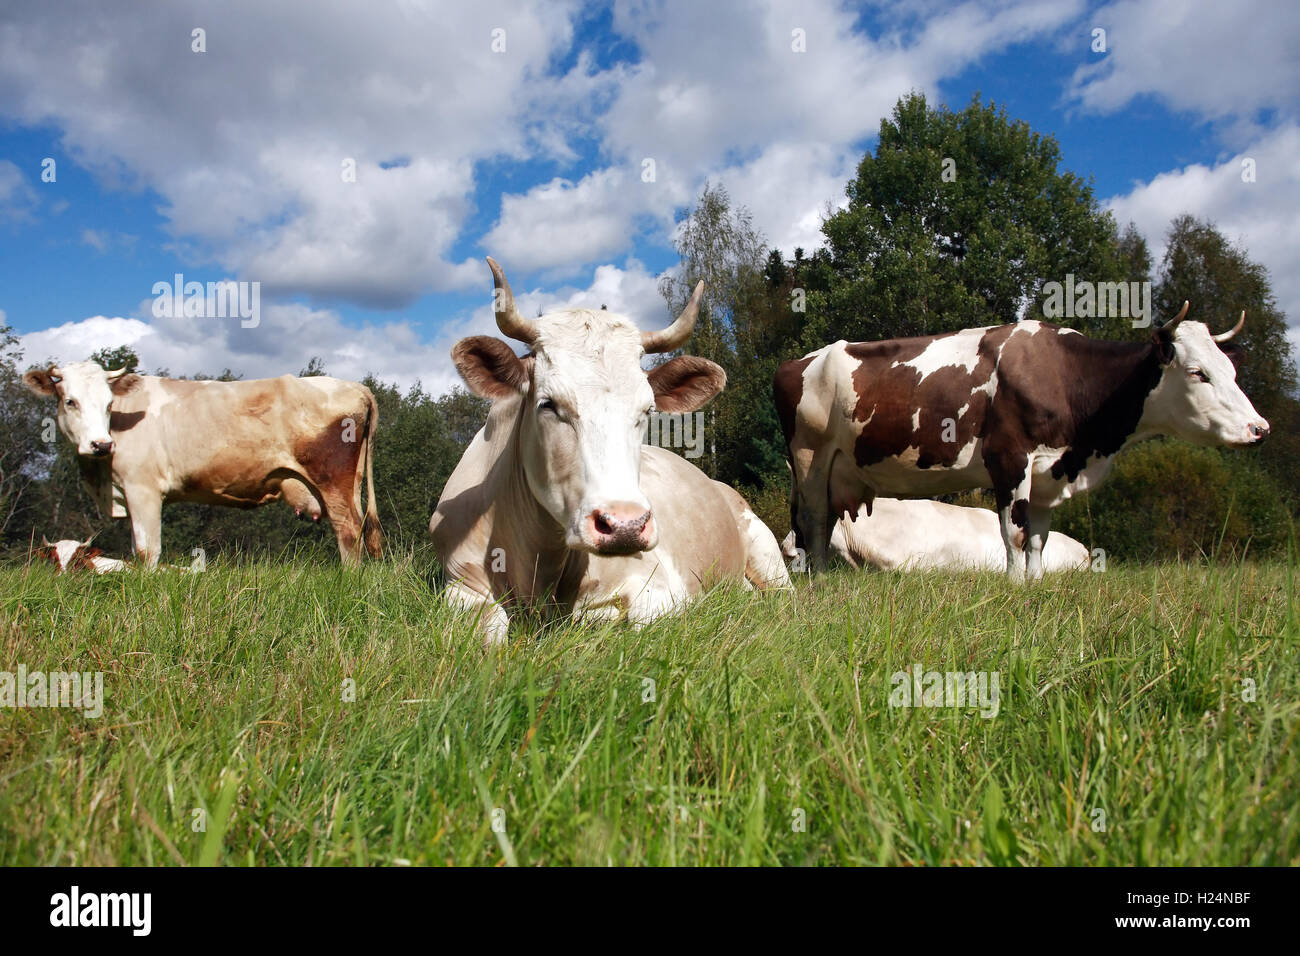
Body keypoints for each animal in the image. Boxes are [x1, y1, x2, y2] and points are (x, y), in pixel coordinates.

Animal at [23, 362, 382, 567]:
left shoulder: (143, 489)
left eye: (109, 403)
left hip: (332, 479)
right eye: (70, 401)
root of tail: (356, 386)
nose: (100, 444)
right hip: (350, 484)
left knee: (349, 530)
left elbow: (147, 552)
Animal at [429, 258, 791, 645]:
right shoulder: (460, 585)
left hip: (768, 554)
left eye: (647, 409)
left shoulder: (661, 587)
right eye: (548, 404)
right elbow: (487, 632)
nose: (625, 526)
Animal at [774, 304, 1268, 580]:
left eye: (1231, 370)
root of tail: (802, 359)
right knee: (812, 523)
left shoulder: (1049, 473)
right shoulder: (1009, 458)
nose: (1259, 428)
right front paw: (1013, 588)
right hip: (811, 458)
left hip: (835, 470)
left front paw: (1034, 586)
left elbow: (1037, 541)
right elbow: (1012, 533)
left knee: (821, 524)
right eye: (1198, 373)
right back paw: (819, 581)